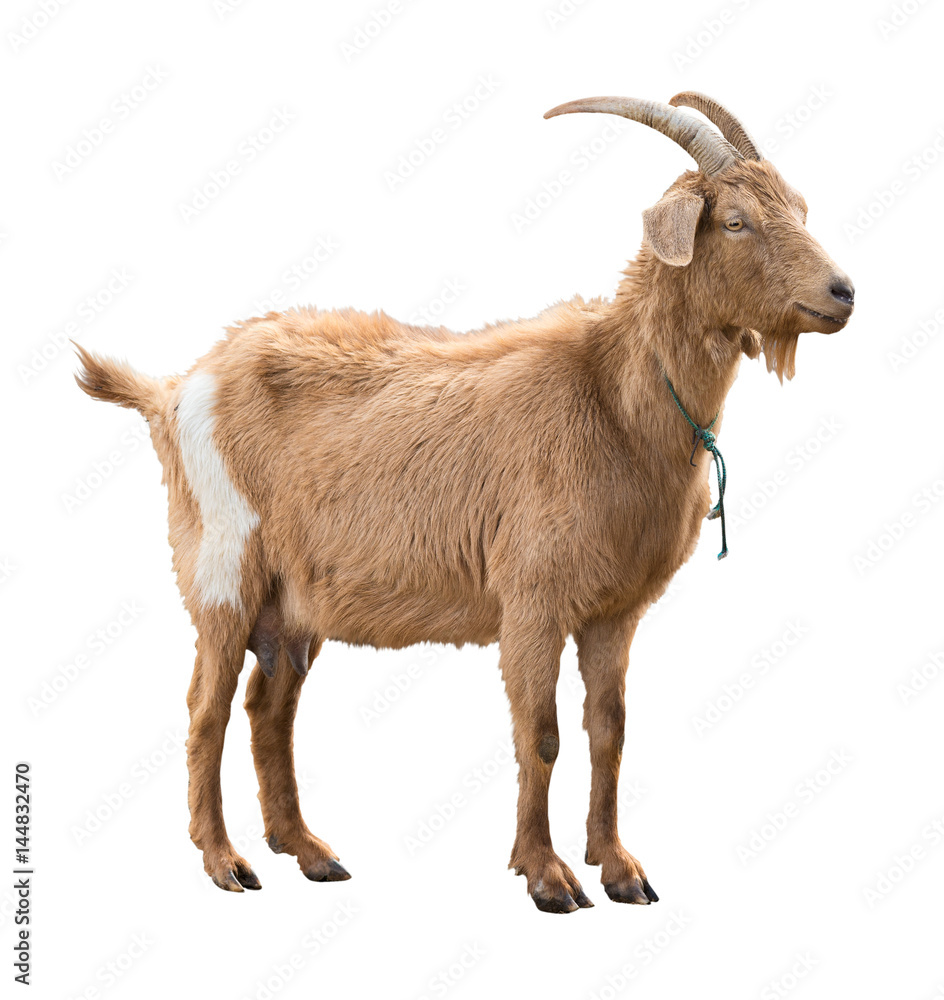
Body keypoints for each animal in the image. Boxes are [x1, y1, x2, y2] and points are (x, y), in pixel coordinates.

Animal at [75, 92, 854, 913]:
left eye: (799, 206)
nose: (843, 293)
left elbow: (608, 731)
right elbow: (540, 732)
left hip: (293, 600)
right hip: (223, 563)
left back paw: (310, 853)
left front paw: (619, 869)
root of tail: (176, 390)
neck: (609, 395)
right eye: (735, 220)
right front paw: (547, 876)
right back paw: (226, 862)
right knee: (207, 707)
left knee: (268, 707)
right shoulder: (532, 599)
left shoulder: (614, 610)